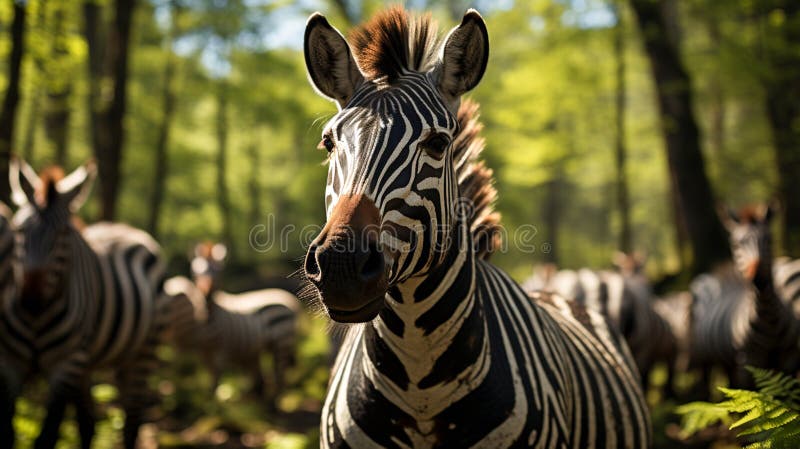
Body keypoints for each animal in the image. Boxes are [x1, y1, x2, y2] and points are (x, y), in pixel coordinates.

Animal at [0, 159, 167, 449]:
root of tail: (123, 226)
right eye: (19, 230)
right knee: (88, 424)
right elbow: (9, 432)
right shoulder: (11, 364)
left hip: (142, 352)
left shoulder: (66, 365)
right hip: (88, 363)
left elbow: (47, 435)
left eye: (64, 233)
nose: (30, 300)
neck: (36, 319)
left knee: (131, 421)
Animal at [162, 242, 300, 409]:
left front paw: (214, 407)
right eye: (196, 270)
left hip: (282, 343)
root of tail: (287, 299)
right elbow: (211, 382)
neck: (210, 317)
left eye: (218, 270)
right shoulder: (204, 352)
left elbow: (215, 382)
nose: (206, 293)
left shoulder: (221, 351)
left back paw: (273, 405)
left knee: (279, 376)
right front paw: (208, 404)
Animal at [690, 204, 800, 390]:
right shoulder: (746, 362)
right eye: (736, 244)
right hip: (708, 359)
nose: (759, 279)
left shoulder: (789, 359)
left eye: (769, 240)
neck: (769, 321)